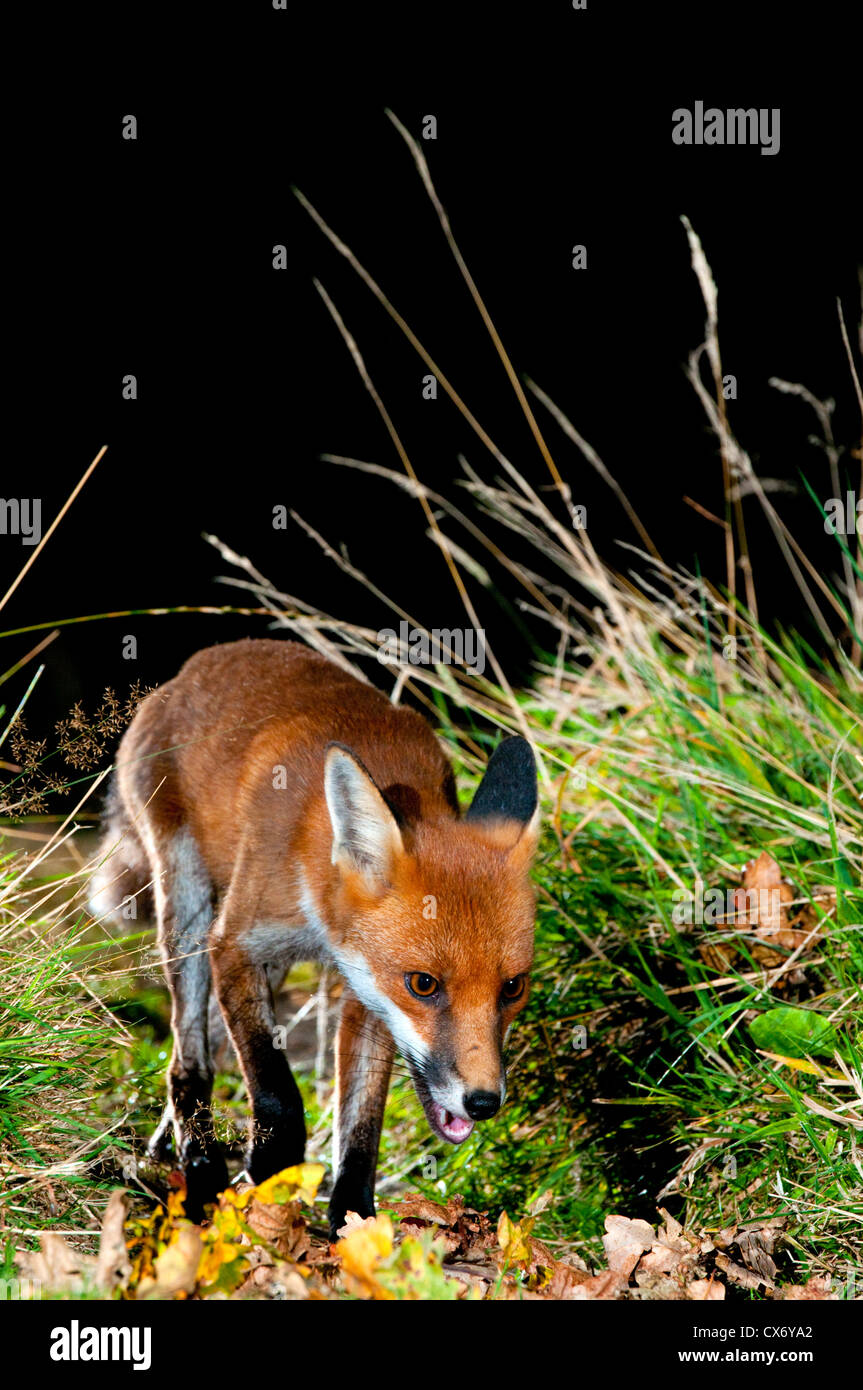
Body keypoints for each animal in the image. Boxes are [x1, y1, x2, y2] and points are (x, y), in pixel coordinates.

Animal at [90, 638, 539, 1235]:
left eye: (512, 988)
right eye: (424, 984)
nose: (484, 1102)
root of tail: (193, 668)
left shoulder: (365, 990)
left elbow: (361, 1125)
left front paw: (354, 1223)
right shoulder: (235, 943)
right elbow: (277, 1093)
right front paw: (266, 1178)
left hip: (264, 964)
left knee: (204, 1047)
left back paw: (167, 1149)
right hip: (188, 909)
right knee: (188, 1060)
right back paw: (200, 1169)